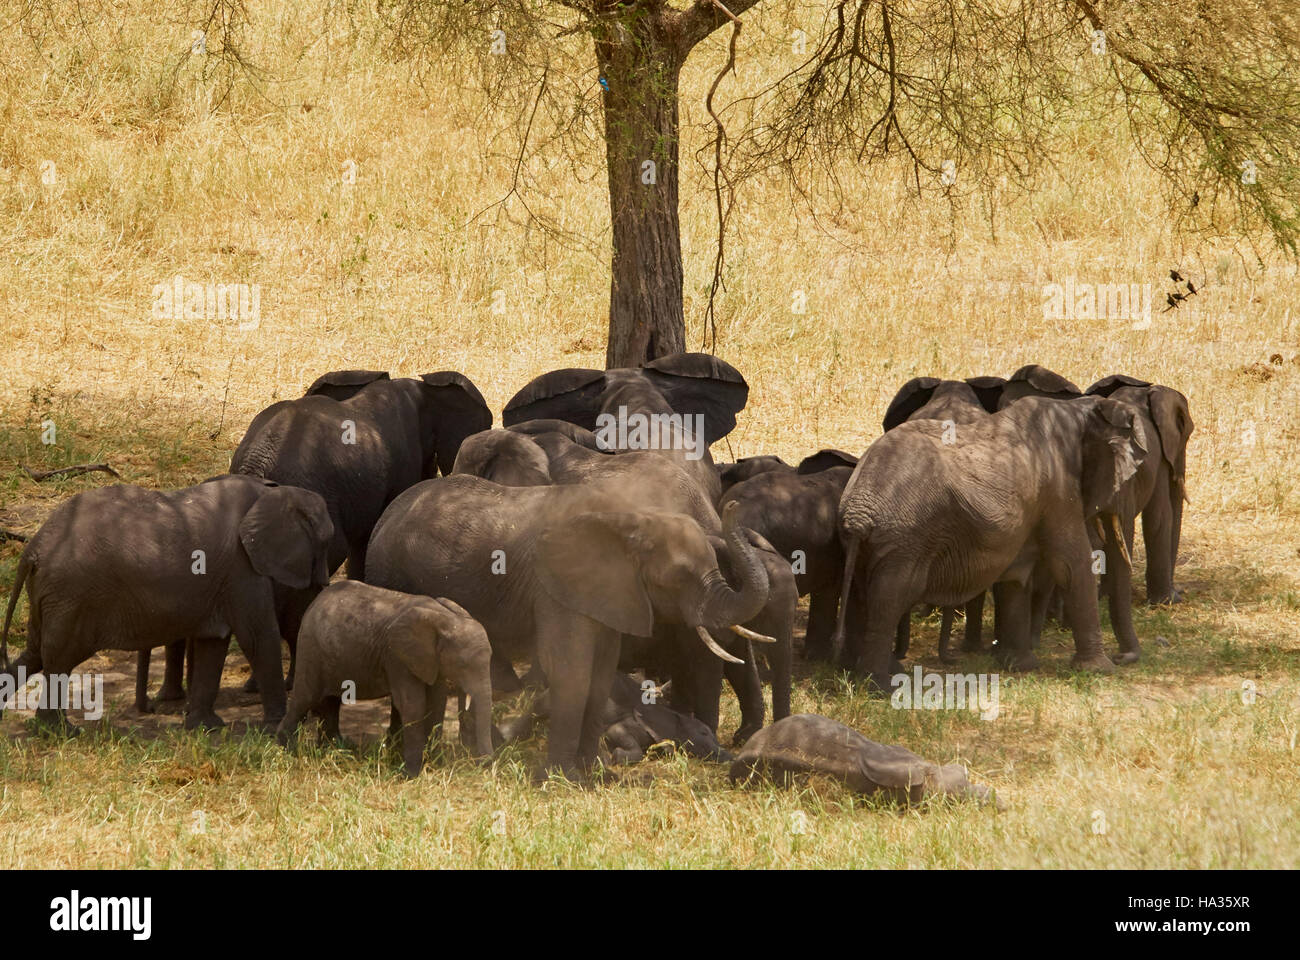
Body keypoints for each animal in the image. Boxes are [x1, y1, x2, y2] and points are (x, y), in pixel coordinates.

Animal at [1, 475, 334, 730]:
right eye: (328, 539)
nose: (148, 708)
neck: (273, 490)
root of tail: (33, 547)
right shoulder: (242, 568)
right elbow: (258, 637)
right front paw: (275, 726)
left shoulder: (224, 578)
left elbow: (214, 643)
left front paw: (205, 728)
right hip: (71, 594)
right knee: (58, 658)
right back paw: (62, 732)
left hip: (53, 594)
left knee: (36, 653)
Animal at [276, 581, 493, 778]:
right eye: (463, 665)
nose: (485, 766)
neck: (447, 618)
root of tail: (316, 601)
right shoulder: (397, 657)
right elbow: (412, 704)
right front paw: (410, 775)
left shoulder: (431, 661)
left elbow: (436, 703)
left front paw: (435, 764)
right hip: (310, 648)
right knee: (305, 697)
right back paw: (286, 752)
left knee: (331, 701)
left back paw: (335, 750)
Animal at [365, 474, 771, 779]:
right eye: (679, 577)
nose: (733, 506)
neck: (631, 518)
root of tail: (385, 516)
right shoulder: (555, 586)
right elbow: (571, 668)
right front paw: (562, 778)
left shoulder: (610, 592)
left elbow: (602, 669)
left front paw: (593, 771)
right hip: (391, 574)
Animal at [834, 395, 1149, 690]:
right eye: (1125, 479)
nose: (1122, 657)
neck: (1080, 408)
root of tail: (858, 511)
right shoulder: (1059, 488)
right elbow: (1072, 564)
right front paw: (1100, 670)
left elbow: (1017, 577)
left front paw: (1019, 665)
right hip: (904, 540)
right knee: (889, 602)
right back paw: (882, 687)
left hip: (869, 545)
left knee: (866, 600)